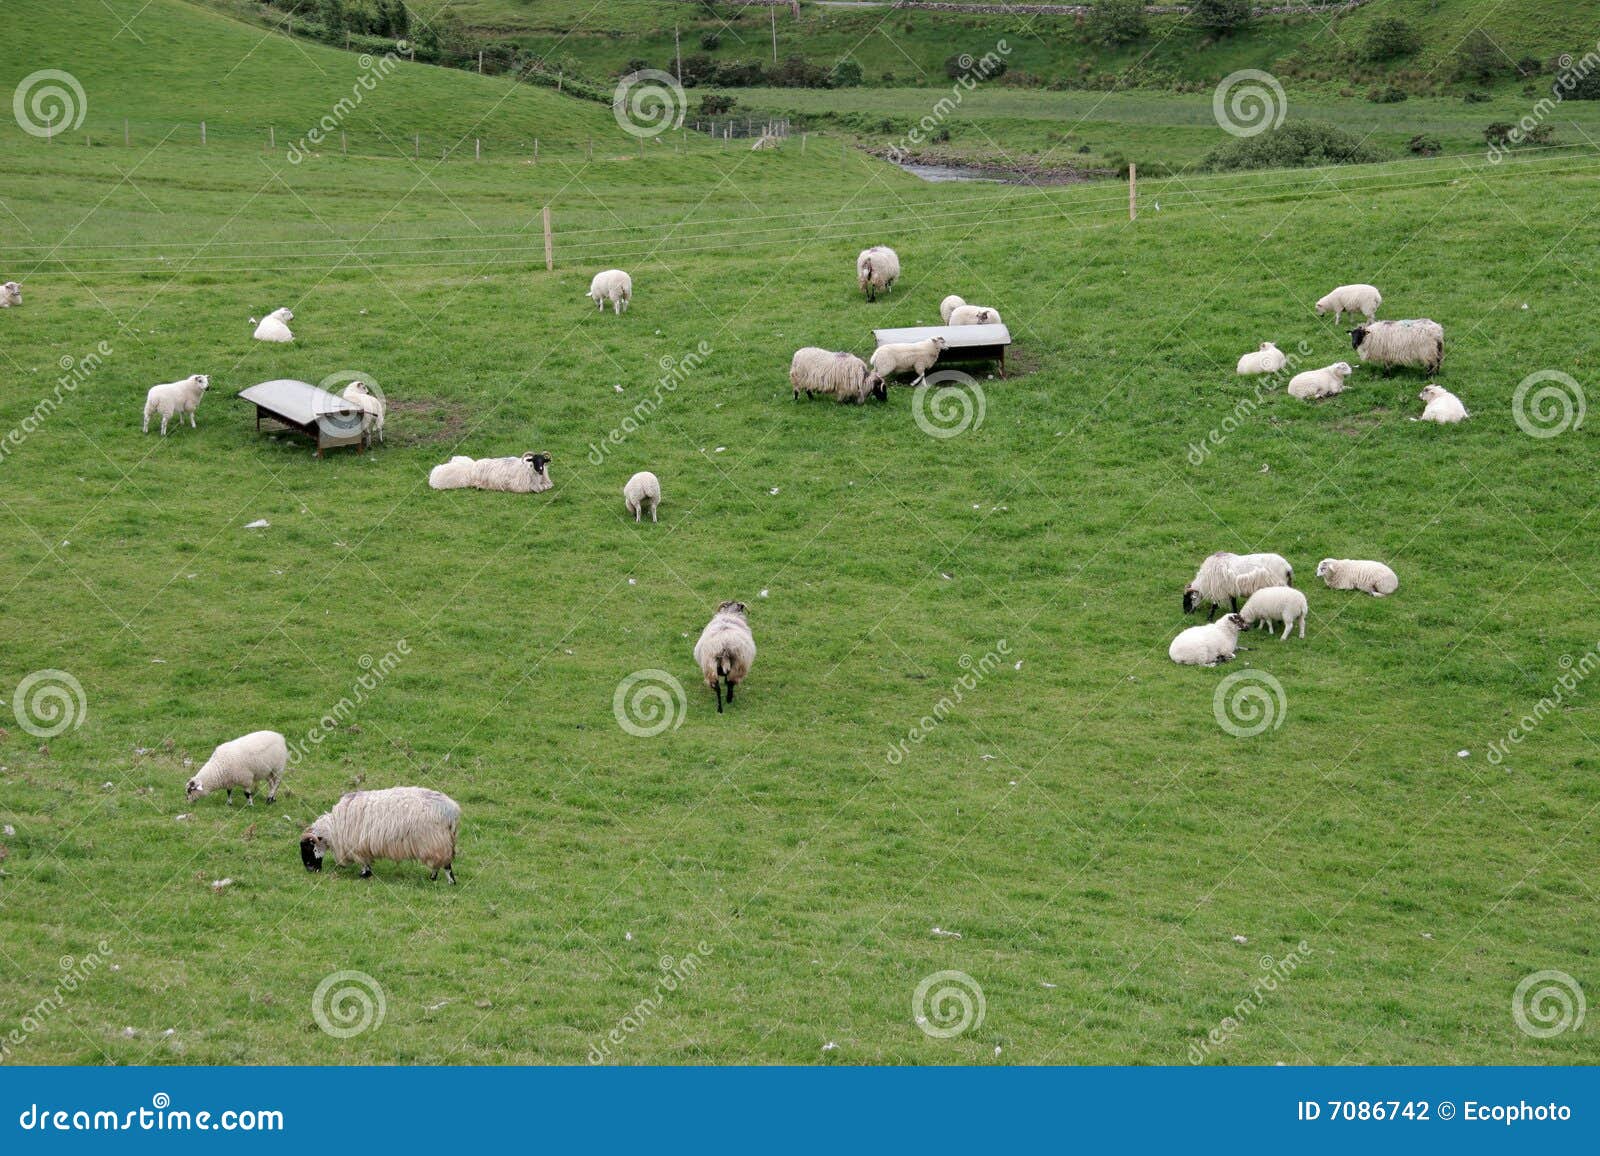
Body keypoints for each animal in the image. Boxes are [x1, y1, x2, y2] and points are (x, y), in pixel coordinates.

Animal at [300, 786, 461, 883]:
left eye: (308, 847)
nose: (309, 869)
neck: (333, 828)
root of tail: (452, 810)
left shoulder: (358, 847)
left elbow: (364, 863)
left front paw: (363, 875)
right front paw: (367, 874)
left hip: (435, 841)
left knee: (445, 864)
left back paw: (445, 881)